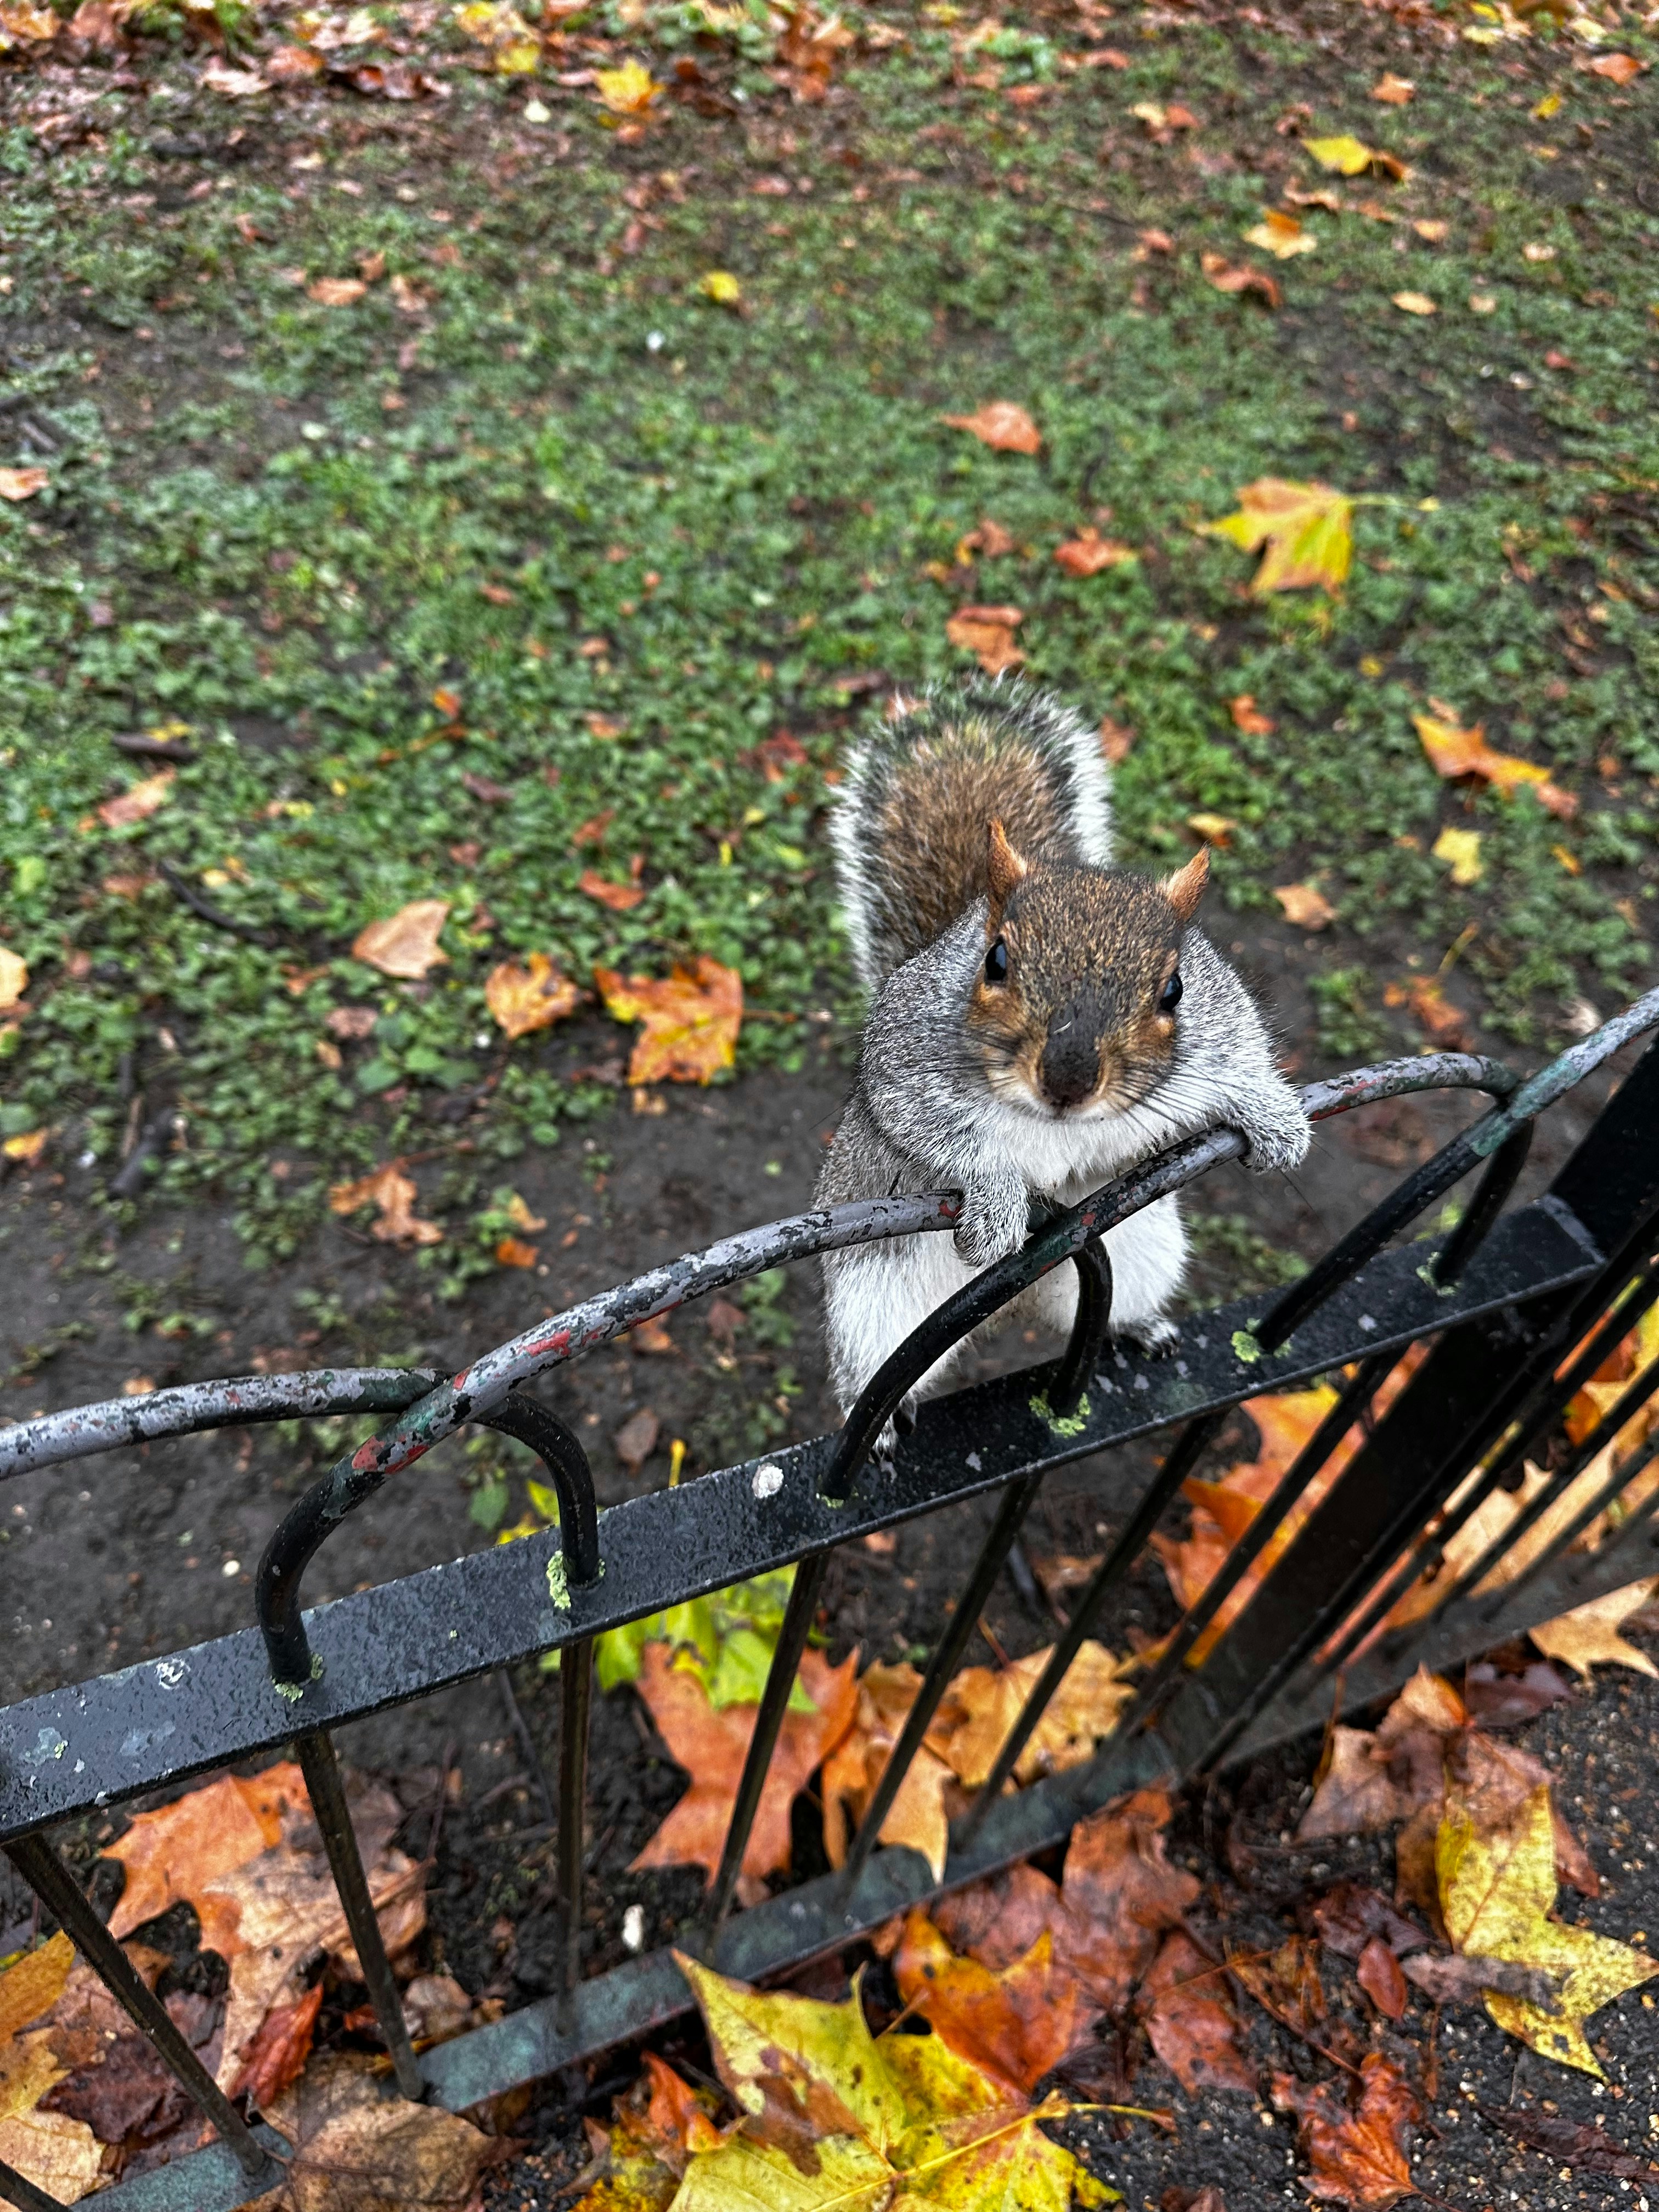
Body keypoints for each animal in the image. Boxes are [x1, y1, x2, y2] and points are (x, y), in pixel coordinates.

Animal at [815, 676, 1310, 1433]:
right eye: (995, 960)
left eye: (1174, 989)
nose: (1068, 1081)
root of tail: (1015, 1299)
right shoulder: (905, 1063)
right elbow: (935, 1132)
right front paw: (994, 1192)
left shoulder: (1222, 1025)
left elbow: (1240, 1061)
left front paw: (1271, 1113)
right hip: (877, 1303)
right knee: (872, 1370)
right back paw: (876, 1419)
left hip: (1142, 1255)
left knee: (1111, 1307)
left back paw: (1142, 1328)